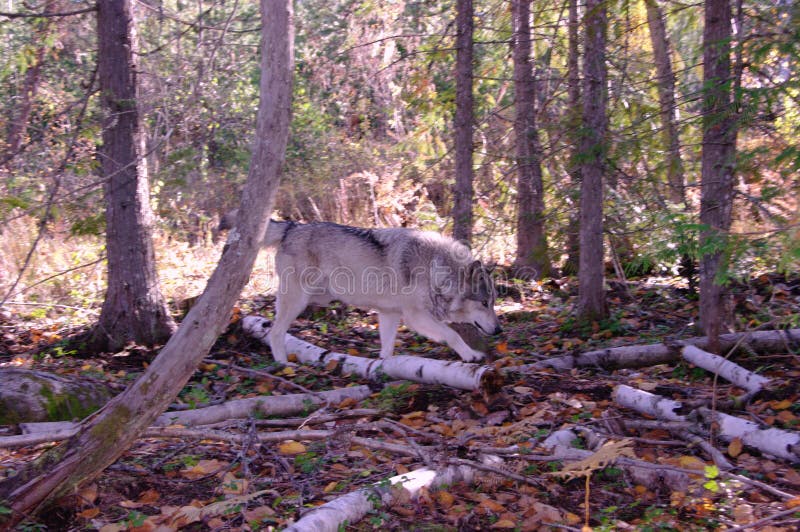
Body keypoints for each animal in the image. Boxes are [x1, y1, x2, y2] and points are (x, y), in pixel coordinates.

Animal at [230, 217, 503, 363]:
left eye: (493, 302)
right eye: (484, 303)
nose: (499, 330)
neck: (435, 268)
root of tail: (292, 227)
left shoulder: (390, 314)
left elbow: (387, 349)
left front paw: (385, 366)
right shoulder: (416, 317)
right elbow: (452, 334)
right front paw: (471, 355)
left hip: (320, 296)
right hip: (298, 300)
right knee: (276, 332)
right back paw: (284, 364)